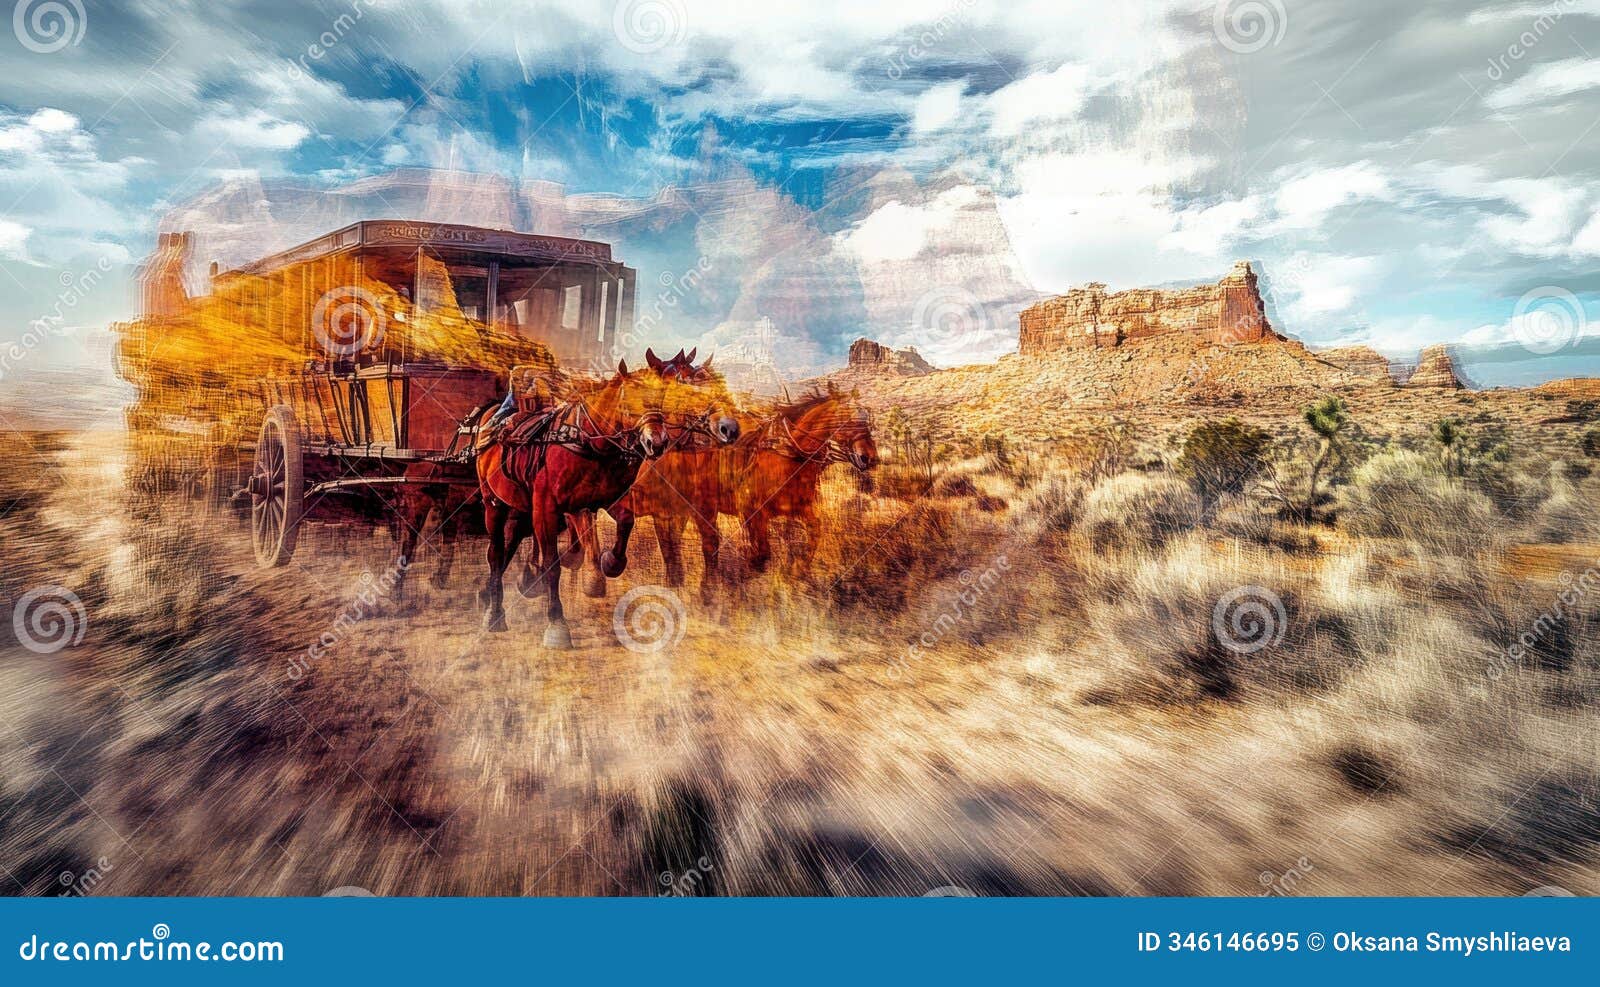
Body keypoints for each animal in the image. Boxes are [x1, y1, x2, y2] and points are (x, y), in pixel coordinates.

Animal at [475, 360, 739, 646]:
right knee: (497, 552)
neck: (588, 439)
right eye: (693, 390)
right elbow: (554, 563)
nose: (731, 428)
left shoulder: (622, 501)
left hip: (519, 504)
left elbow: (634, 527)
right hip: (494, 502)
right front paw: (557, 624)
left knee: (512, 541)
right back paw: (495, 612)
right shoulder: (551, 507)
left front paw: (610, 564)